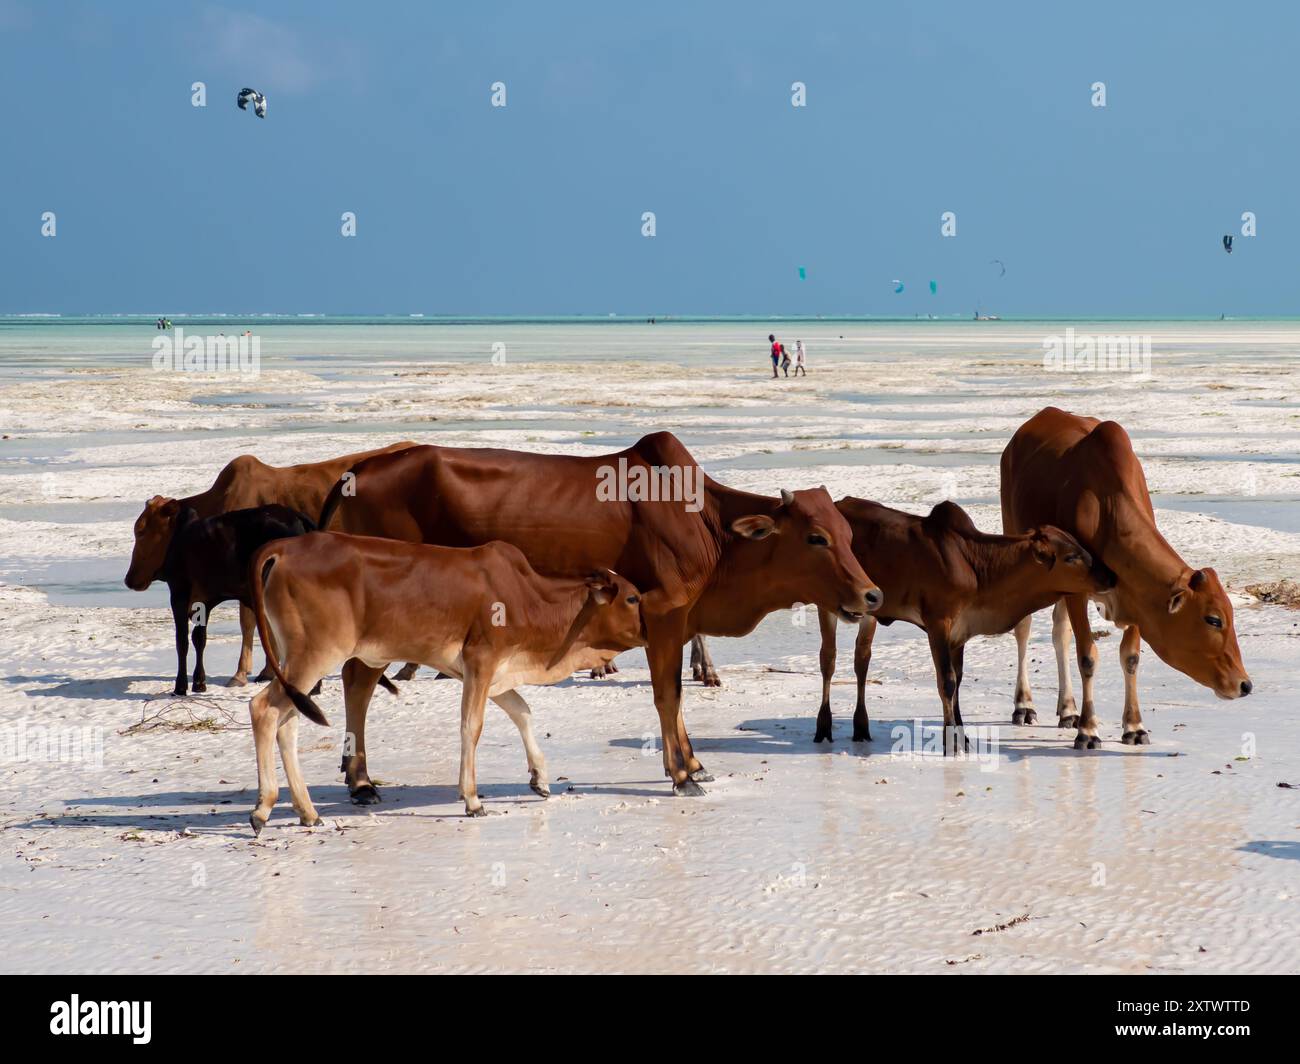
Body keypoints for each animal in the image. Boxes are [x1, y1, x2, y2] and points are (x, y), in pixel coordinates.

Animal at [160, 505, 317, 696]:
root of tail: (296, 516)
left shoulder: (178, 593)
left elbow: (182, 640)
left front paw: (180, 687)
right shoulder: (204, 601)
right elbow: (199, 638)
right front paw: (199, 682)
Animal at [246, 532, 647, 831]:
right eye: (631, 598)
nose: (651, 629)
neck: (530, 598)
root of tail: (285, 547)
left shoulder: (492, 672)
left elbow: (523, 712)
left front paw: (539, 777)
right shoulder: (481, 662)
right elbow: (472, 726)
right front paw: (471, 799)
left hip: (296, 666)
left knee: (287, 722)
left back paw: (307, 811)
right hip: (314, 656)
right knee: (263, 709)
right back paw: (264, 807)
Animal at [317, 431, 880, 798]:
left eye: (849, 533)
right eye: (816, 537)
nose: (872, 595)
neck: (707, 524)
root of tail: (358, 469)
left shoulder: (680, 623)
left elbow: (675, 694)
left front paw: (695, 763)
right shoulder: (663, 615)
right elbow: (667, 694)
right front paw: (680, 774)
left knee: (356, 680)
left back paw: (355, 774)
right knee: (359, 681)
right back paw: (361, 781)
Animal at [811, 499, 1114, 751]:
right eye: (1071, 557)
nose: (1110, 576)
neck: (976, 566)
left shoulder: (960, 632)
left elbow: (957, 681)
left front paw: (962, 735)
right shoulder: (938, 624)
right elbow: (946, 682)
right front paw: (951, 741)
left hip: (869, 612)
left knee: (861, 659)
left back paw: (861, 728)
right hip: (828, 606)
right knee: (828, 659)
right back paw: (823, 728)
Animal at [1001, 407, 1251, 750]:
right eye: (1213, 619)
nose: (1245, 684)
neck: (1105, 509)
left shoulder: (1135, 599)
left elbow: (1130, 657)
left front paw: (1134, 726)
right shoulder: (1078, 591)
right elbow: (1087, 657)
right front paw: (1089, 731)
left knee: (1059, 632)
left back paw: (1068, 710)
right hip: (1015, 534)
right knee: (1024, 627)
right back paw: (1024, 706)